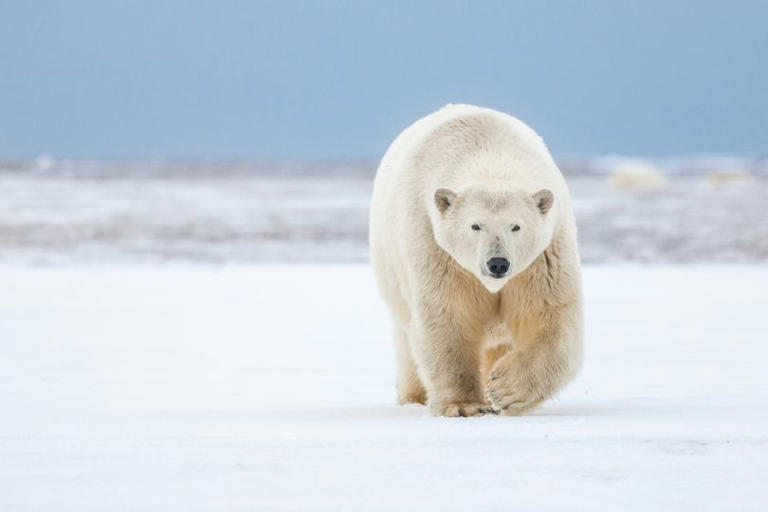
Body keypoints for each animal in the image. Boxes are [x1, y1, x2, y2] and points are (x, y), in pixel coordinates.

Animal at [369, 104, 583, 417]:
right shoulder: (435, 247)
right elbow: (448, 315)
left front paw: (503, 390)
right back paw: (414, 397)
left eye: (516, 226)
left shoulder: (544, 256)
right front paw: (465, 405)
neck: (487, 151)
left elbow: (550, 315)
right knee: (407, 342)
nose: (498, 263)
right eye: (475, 225)